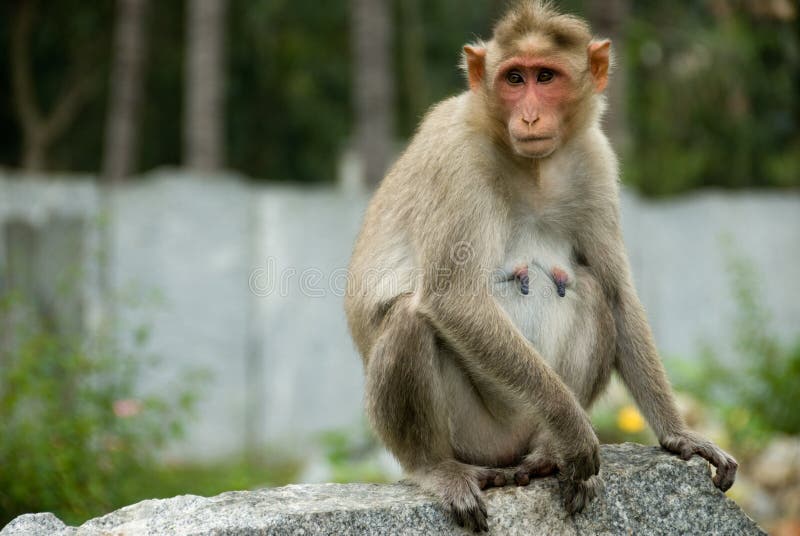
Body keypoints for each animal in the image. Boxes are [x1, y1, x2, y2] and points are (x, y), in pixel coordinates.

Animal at [344, 1, 737, 532]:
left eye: (545, 76)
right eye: (514, 78)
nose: (529, 115)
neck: (531, 167)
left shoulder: (594, 158)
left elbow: (617, 294)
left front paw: (680, 435)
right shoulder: (457, 160)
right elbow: (453, 296)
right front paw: (573, 426)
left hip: (523, 430)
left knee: (591, 292)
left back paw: (549, 454)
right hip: (479, 435)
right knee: (410, 320)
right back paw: (439, 468)